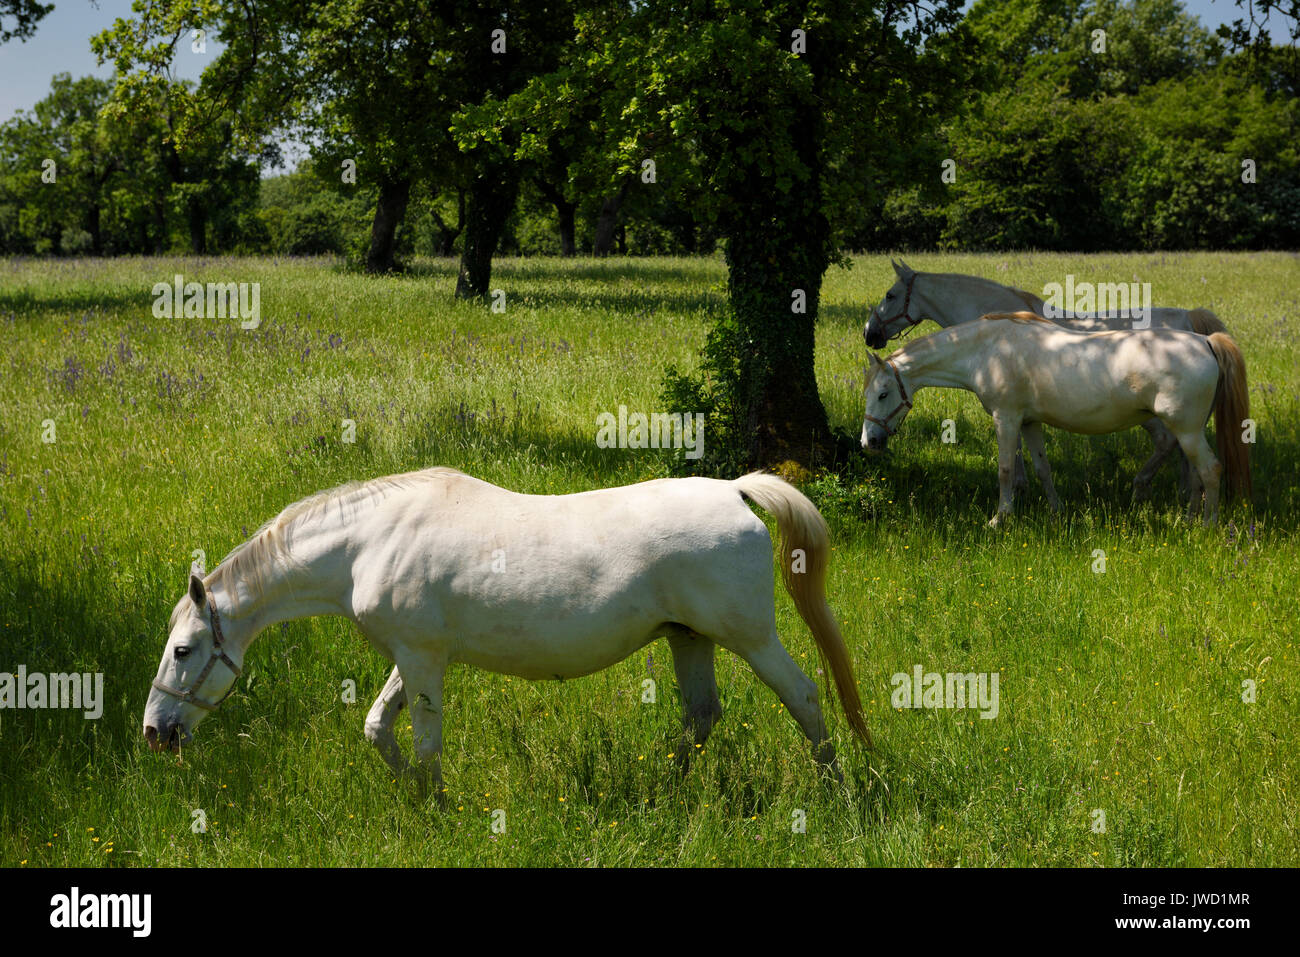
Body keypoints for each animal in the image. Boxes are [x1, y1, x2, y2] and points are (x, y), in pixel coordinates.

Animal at [144, 467, 871, 795]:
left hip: (751, 639)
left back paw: (841, 790)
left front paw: (435, 806)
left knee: (805, 697)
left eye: (183, 650)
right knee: (701, 714)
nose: (156, 732)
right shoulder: (411, 656)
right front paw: (414, 793)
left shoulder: (424, 660)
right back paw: (668, 789)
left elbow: (427, 742)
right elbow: (378, 727)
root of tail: (734, 488)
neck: (369, 541)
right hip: (687, 637)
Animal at [860, 313, 1251, 527]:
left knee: (1211, 470)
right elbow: (1042, 468)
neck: (987, 350)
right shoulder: (1030, 422)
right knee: (1196, 473)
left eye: (883, 393)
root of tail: (1205, 341)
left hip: (1186, 429)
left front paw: (999, 518)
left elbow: (1005, 469)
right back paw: (1189, 518)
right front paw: (1056, 511)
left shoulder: (1007, 418)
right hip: (1187, 430)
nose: (869, 442)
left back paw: (1206, 526)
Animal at [863, 258, 1229, 500]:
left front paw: (1018, 490)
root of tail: (1190, 320)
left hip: (1156, 416)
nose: (870, 333)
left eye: (891, 295)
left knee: (1171, 445)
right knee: (1182, 453)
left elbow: (1015, 454)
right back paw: (1184, 497)